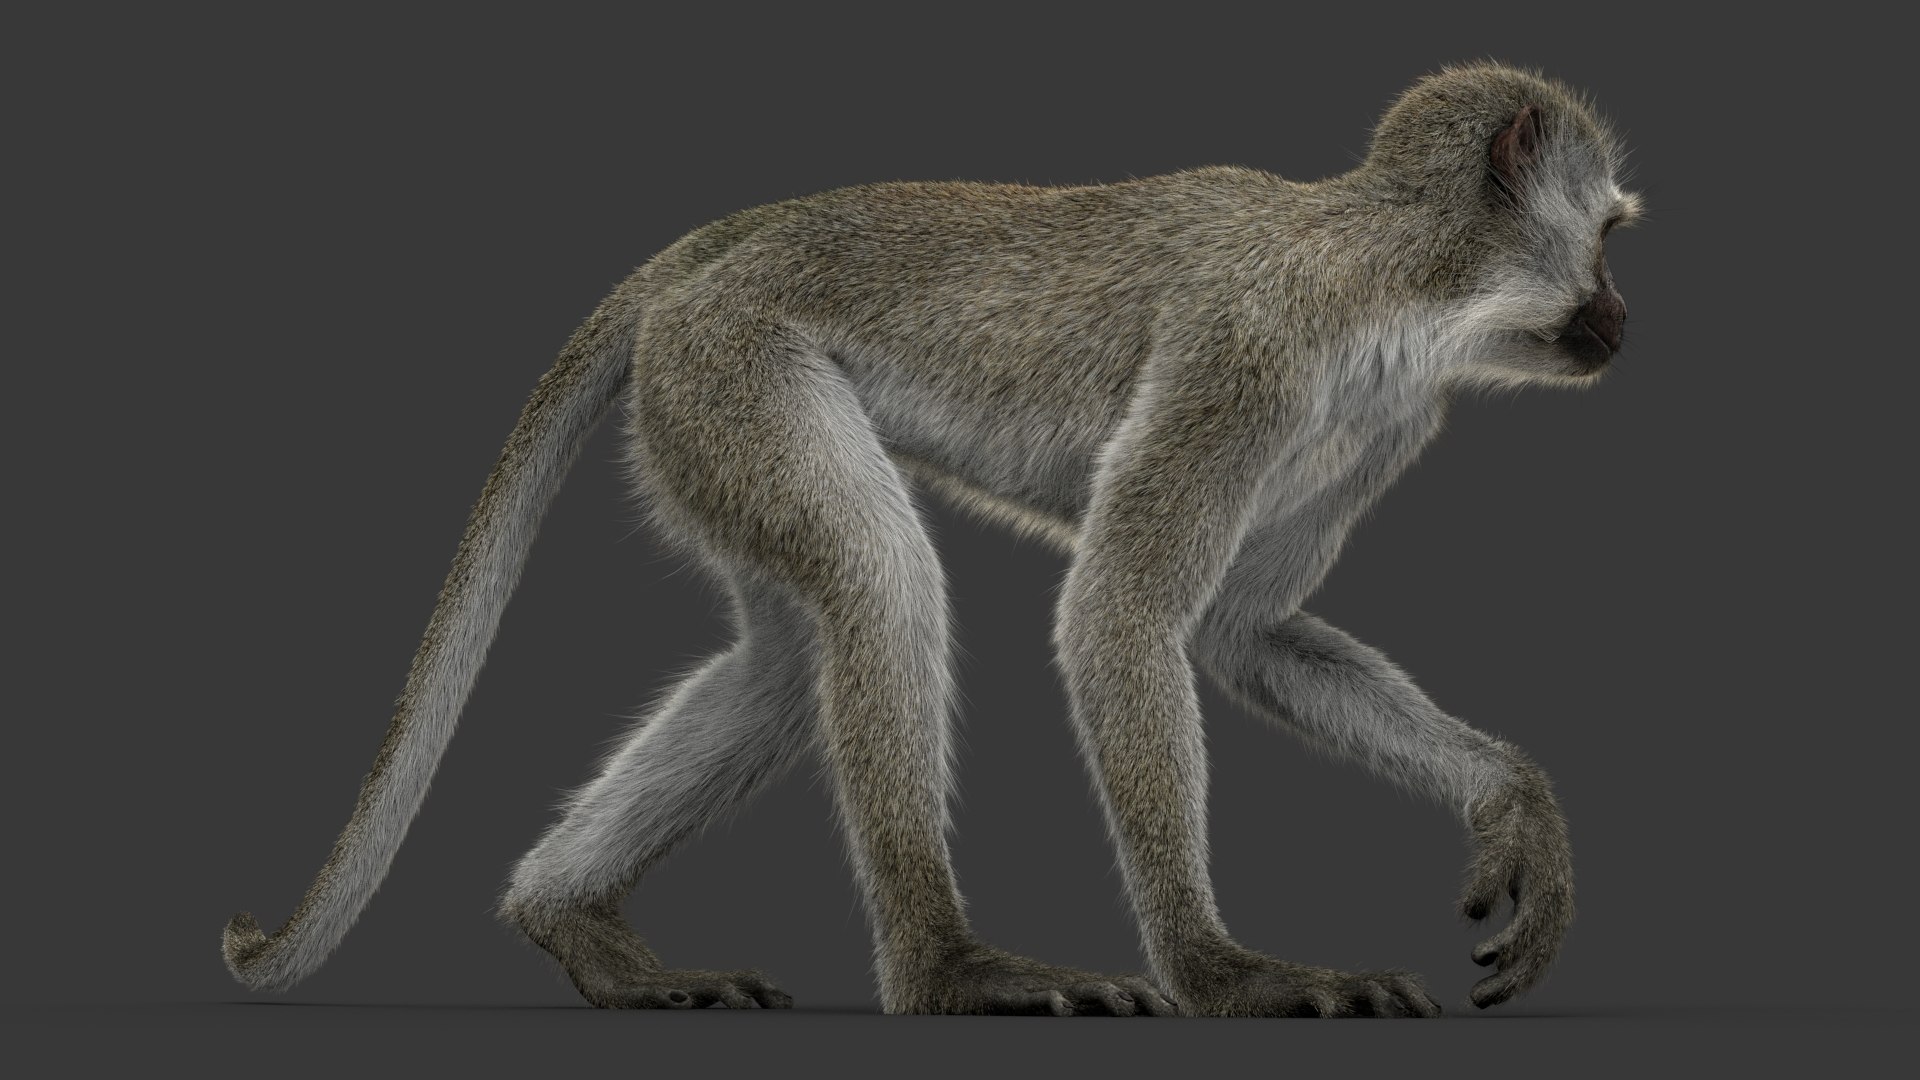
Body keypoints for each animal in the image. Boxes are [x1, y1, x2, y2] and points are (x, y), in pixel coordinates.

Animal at [221, 62, 1643, 1017]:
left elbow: (1243, 635)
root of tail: (734, 242)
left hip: (694, 398)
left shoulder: (1390, 420)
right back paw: (950, 970)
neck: (1390, 290)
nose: (1626, 317)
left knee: (788, 655)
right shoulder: (1247, 353)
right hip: (729, 360)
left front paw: (1511, 802)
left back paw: (573, 927)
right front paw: (1219, 971)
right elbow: (1120, 615)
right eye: (1612, 236)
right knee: (875, 581)